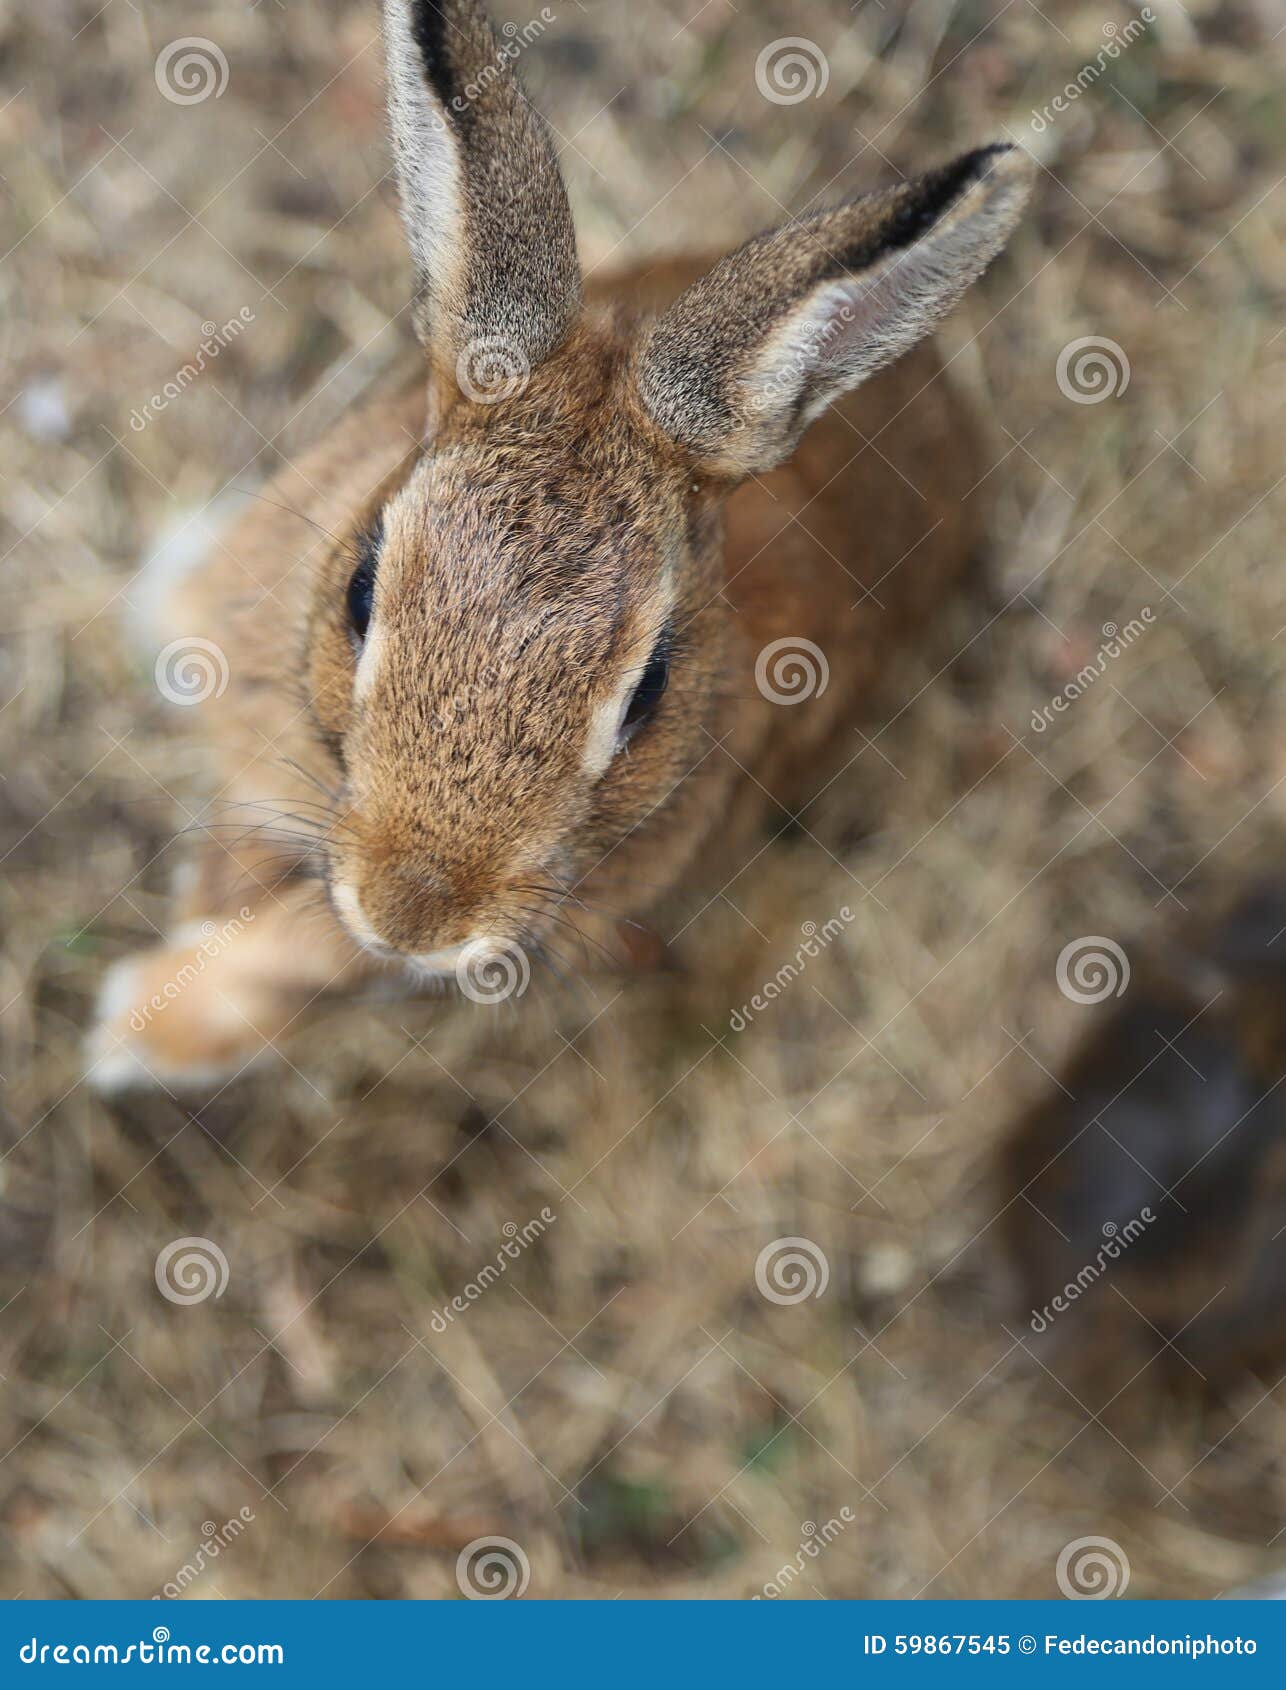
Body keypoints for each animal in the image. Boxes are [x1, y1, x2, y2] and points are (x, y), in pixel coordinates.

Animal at [86, 0, 1032, 1092]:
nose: (414, 915)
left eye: (649, 692)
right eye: (361, 592)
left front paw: (137, 1030)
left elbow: (299, 955)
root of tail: (949, 399)